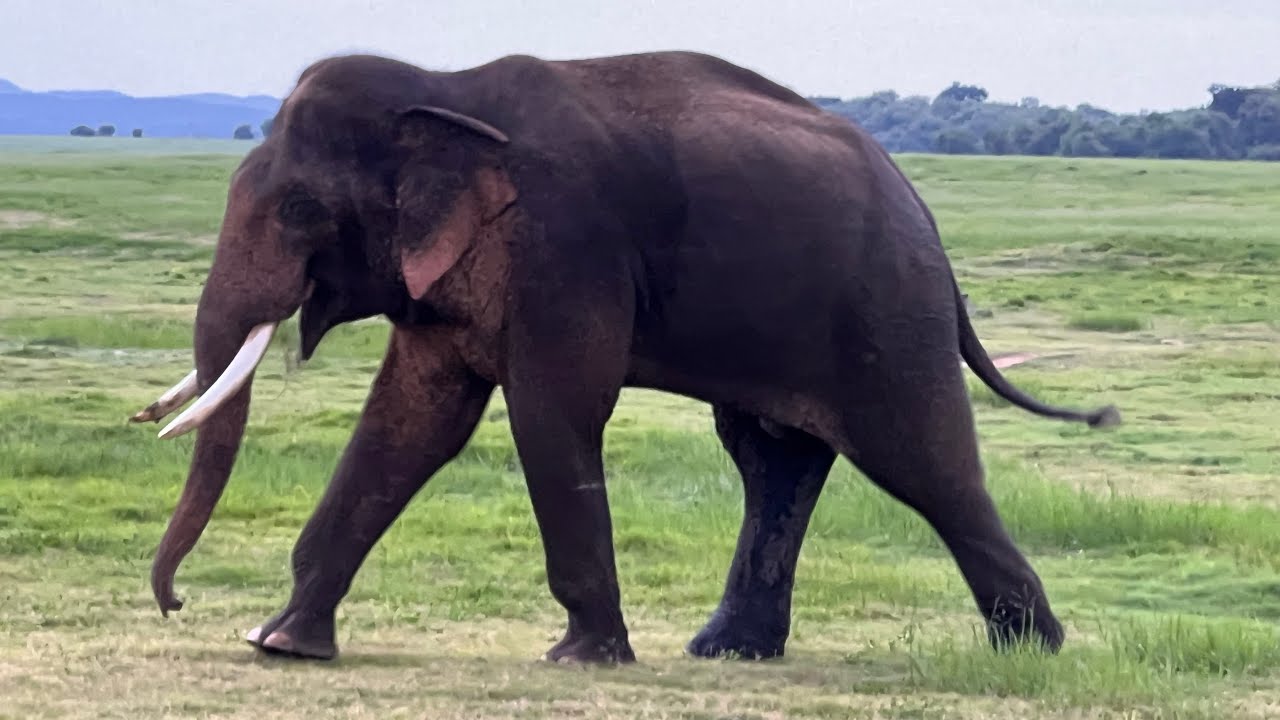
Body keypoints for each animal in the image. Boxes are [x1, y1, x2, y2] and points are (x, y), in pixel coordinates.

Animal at [129, 50, 1119, 664]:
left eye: (299, 210)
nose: (175, 605)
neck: (443, 93)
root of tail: (926, 217)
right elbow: (412, 420)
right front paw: (280, 644)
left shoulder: (567, 244)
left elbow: (551, 410)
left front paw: (581, 658)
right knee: (772, 460)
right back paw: (727, 651)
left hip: (886, 308)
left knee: (923, 464)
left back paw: (1033, 653)